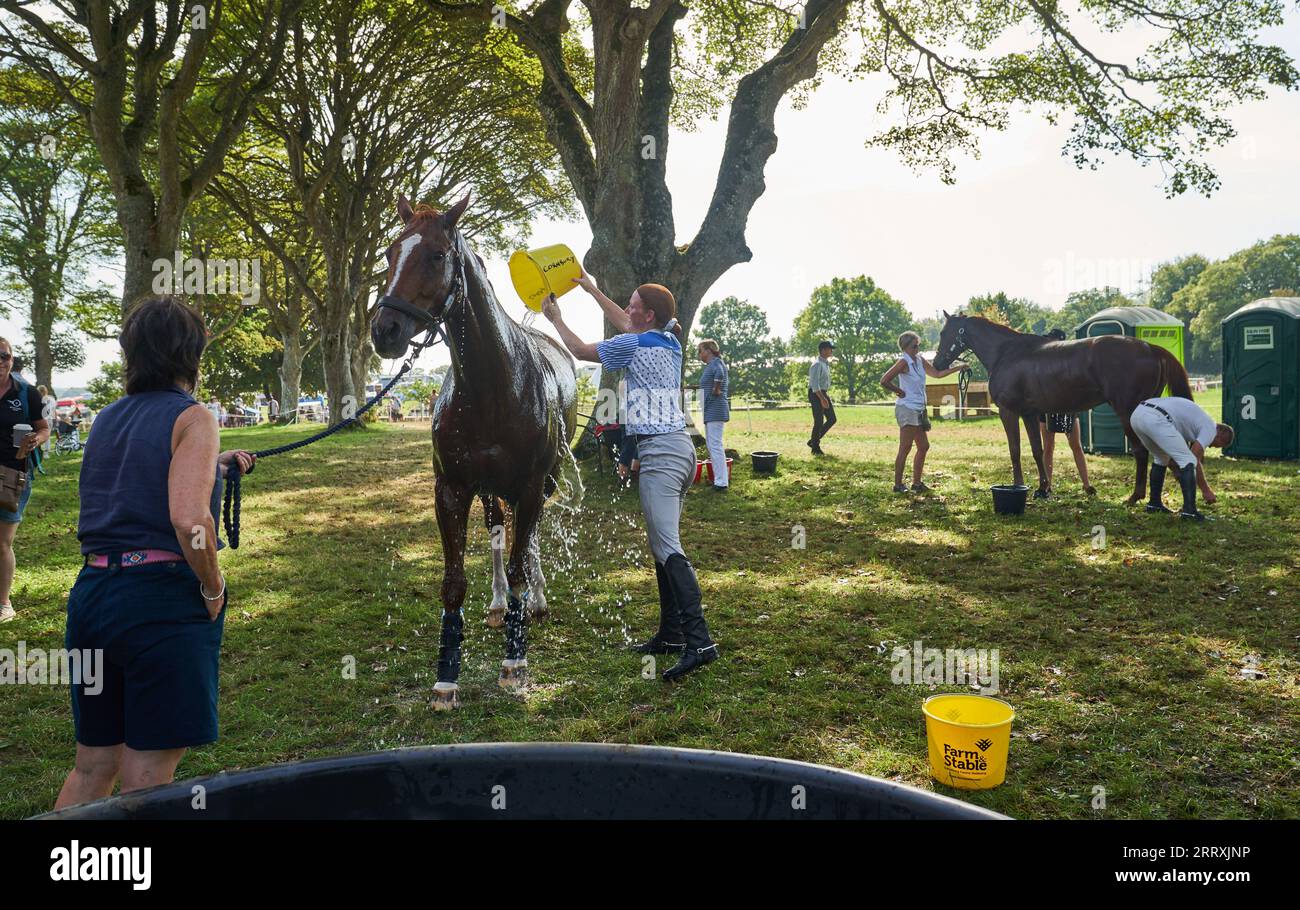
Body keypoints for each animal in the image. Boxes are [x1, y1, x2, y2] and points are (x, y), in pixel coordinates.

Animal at [370, 194, 578, 710]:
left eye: (437, 255)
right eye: (389, 253)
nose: (385, 330)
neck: (494, 383)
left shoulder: (530, 486)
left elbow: (524, 558)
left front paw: (515, 660)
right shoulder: (453, 489)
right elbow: (454, 581)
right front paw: (446, 676)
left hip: (543, 482)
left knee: (530, 541)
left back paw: (533, 603)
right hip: (489, 490)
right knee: (500, 533)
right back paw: (501, 603)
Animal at [932, 311, 1193, 504]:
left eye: (945, 332)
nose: (937, 363)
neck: (1005, 352)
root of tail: (1150, 347)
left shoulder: (1009, 412)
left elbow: (1015, 451)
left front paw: (1018, 485)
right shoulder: (1030, 414)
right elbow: (1037, 451)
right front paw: (1042, 488)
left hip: (1128, 413)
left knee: (1142, 452)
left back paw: (1135, 497)